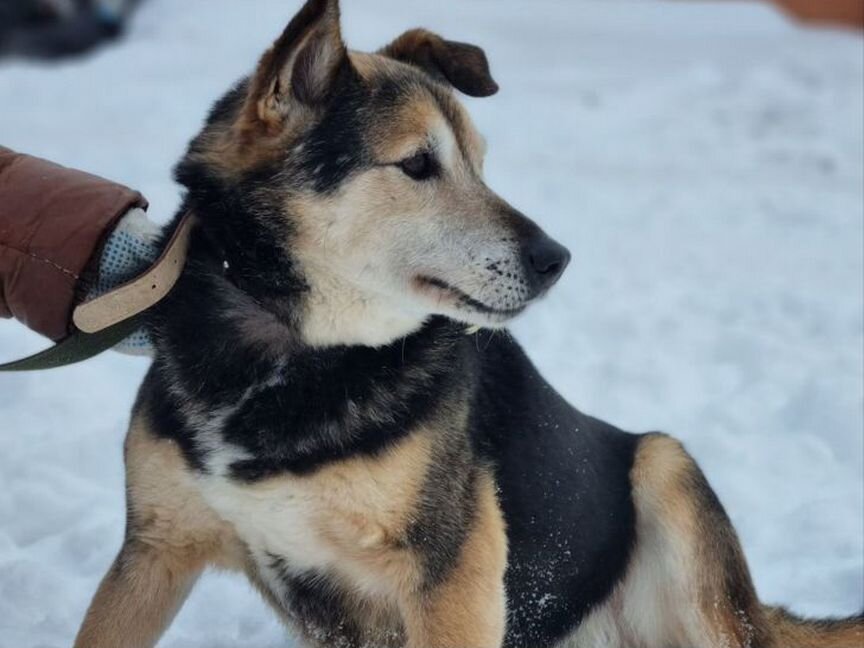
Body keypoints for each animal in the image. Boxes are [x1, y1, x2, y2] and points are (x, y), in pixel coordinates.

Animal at [72, 1, 864, 648]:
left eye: (481, 165)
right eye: (418, 164)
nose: (555, 259)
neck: (296, 353)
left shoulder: (453, 572)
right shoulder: (152, 552)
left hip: (666, 470)